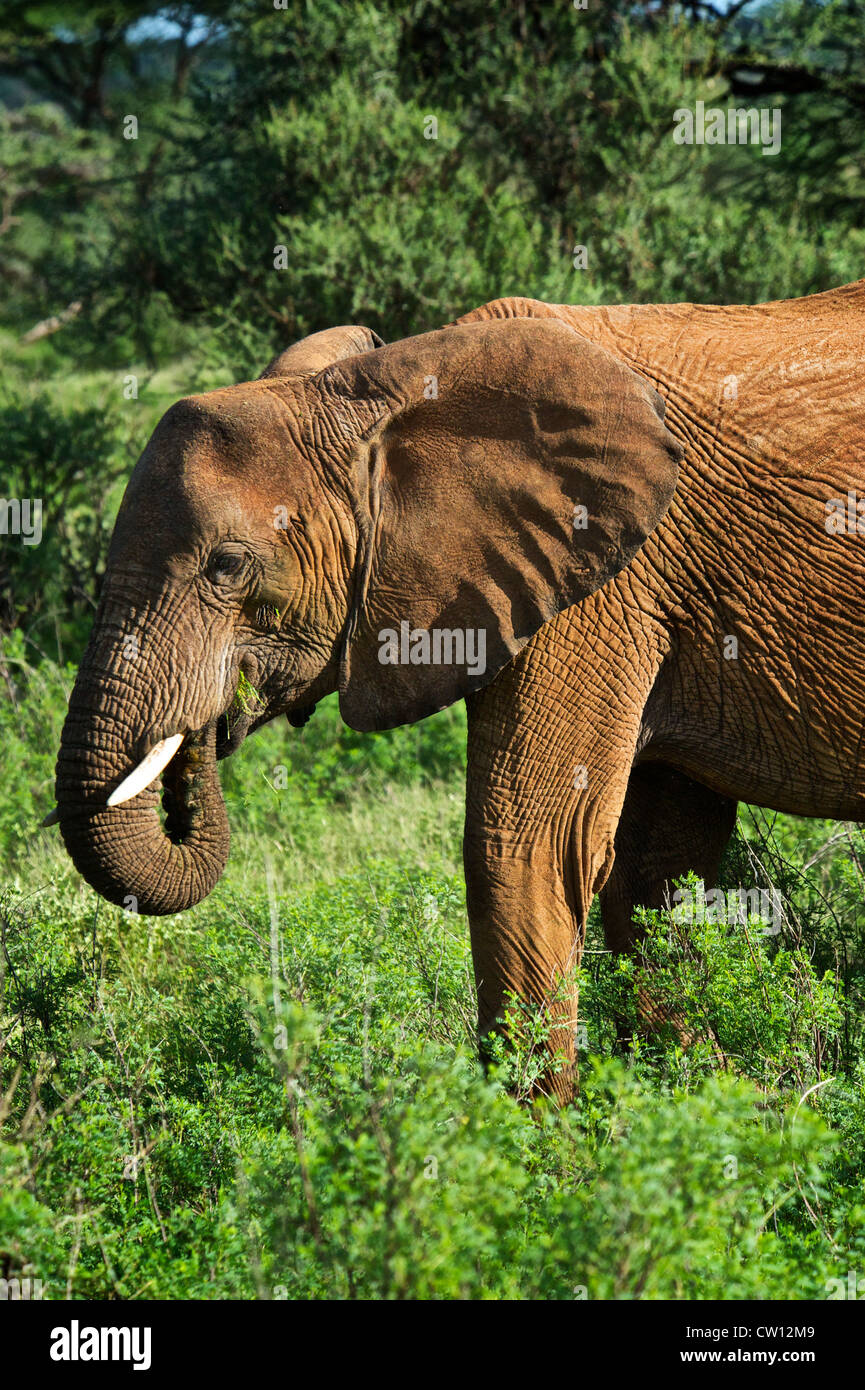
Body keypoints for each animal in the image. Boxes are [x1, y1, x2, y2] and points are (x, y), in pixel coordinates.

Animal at [50, 280, 865, 1101]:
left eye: (226, 565)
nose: (204, 736)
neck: (382, 392)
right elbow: (658, 867)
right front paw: (718, 1101)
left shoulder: (599, 587)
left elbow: (526, 848)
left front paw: (533, 1135)